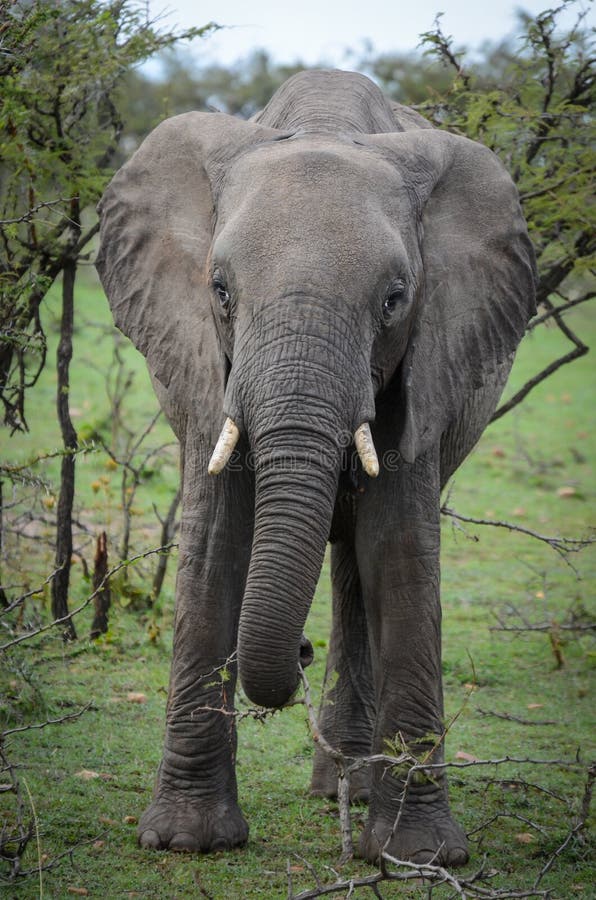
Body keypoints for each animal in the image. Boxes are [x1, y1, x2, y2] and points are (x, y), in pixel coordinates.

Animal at [95, 69, 536, 866]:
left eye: (394, 299)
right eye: (220, 291)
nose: (297, 652)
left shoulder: (425, 365)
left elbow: (401, 555)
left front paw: (418, 858)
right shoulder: (205, 370)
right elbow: (213, 548)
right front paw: (185, 843)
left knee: (359, 570)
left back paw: (347, 793)